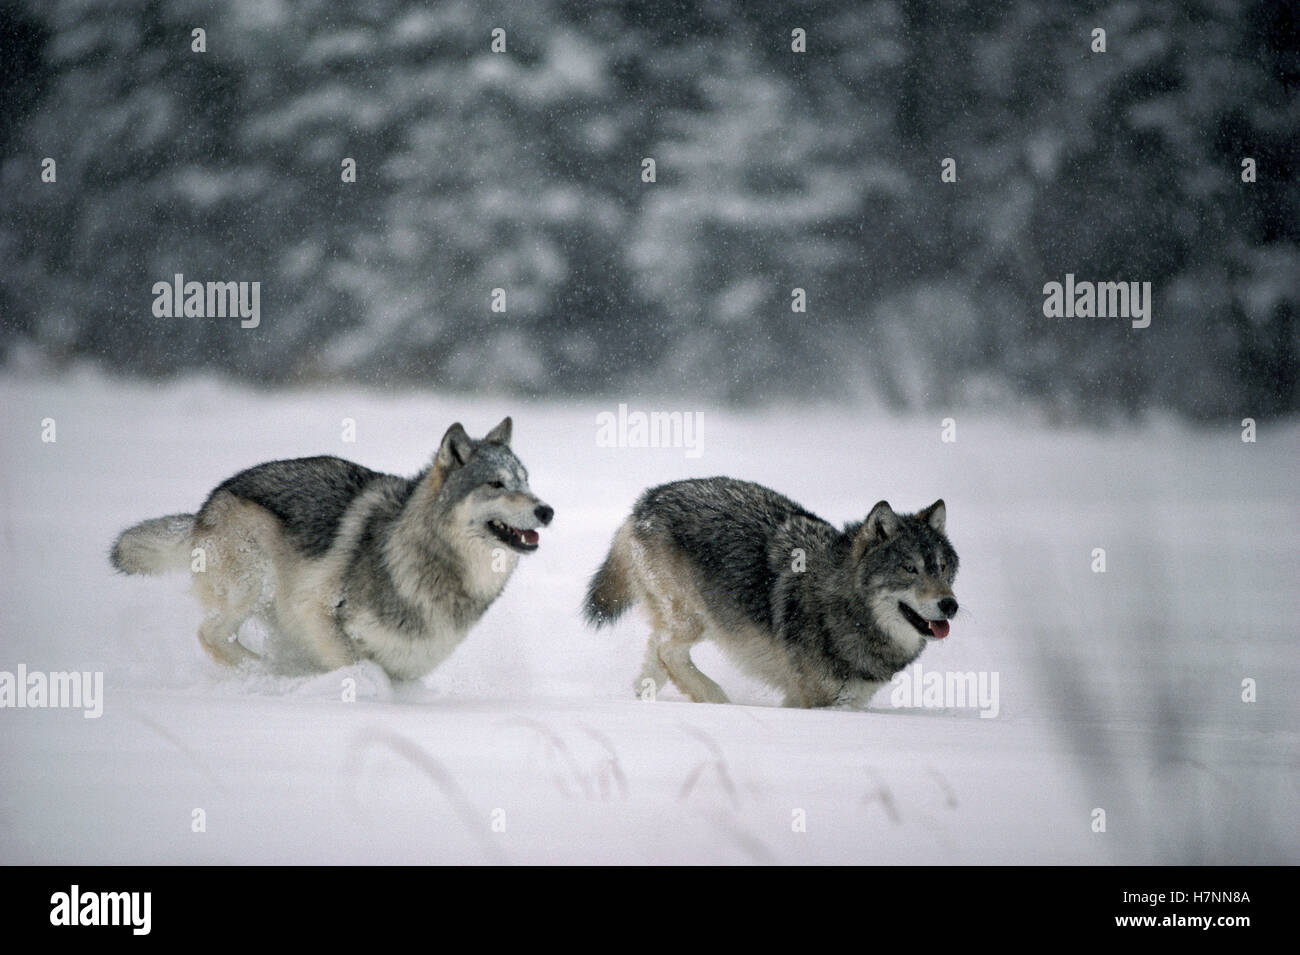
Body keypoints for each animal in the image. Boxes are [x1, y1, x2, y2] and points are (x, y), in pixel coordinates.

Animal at [110, 418, 552, 680]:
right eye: (496, 484)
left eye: (525, 481)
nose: (546, 511)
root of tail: (208, 503)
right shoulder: (315, 610)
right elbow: (357, 669)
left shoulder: (407, 661)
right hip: (253, 585)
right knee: (210, 635)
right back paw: (267, 674)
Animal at [584, 478, 958, 708]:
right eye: (909, 569)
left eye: (942, 568)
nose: (950, 605)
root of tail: (647, 499)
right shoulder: (818, 700)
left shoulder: (827, 700)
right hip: (697, 620)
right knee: (666, 650)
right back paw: (716, 700)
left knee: (657, 650)